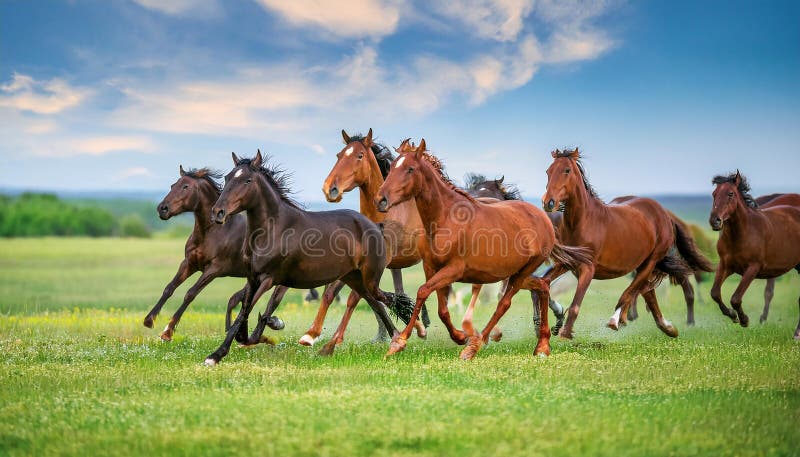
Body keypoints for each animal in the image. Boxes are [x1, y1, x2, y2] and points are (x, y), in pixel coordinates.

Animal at [142, 166, 284, 342]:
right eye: (172, 185)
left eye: (186, 187)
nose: (162, 209)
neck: (212, 232)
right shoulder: (189, 263)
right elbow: (169, 288)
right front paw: (149, 320)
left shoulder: (214, 269)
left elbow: (190, 294)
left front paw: (167, 331)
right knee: (239, 300)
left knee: (271, 303)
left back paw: (270, 326)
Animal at [204, 151, 412, 365]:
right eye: (227, 178)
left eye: (247, 180)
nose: (218, 212)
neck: (274, 229)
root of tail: (376, 226)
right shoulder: (253, 278)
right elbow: (245, 310)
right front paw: (260, 331)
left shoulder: (269, 278)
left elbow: (246, 313)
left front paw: (216, 355)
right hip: (353, 278)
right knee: (377, 303)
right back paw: (394, 343)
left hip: (368, 279)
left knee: (384, 299)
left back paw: (400, 338)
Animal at [316, 128, 429, 344]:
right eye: (339, 155)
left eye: (360, 156)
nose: (329, 188)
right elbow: (331, 294)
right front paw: (313, 333)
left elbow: (356, 297)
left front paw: (336, 338)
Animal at [541, 148, 713, 339]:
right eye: (548, 171)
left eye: (567, 170)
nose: (548, 202)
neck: (582, 222)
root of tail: (665, 213)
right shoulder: (566, 262)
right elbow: (544, 283)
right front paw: (557, 316)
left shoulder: (588, 268)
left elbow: (575, 305)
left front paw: (565, 332)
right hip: (642, 265)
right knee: (647, 293)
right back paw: (668, 328)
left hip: (651, 261)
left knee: (633, 292)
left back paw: (618, 320)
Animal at [709, 172, 800, 339]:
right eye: (714, 194)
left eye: (730, 194)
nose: (715, 221)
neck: (742, 234)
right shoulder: (726, 266)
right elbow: (715, 293)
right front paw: (732, 315)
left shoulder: (753, 268)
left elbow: (736, 298)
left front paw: (744, 320)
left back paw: (796, 334)